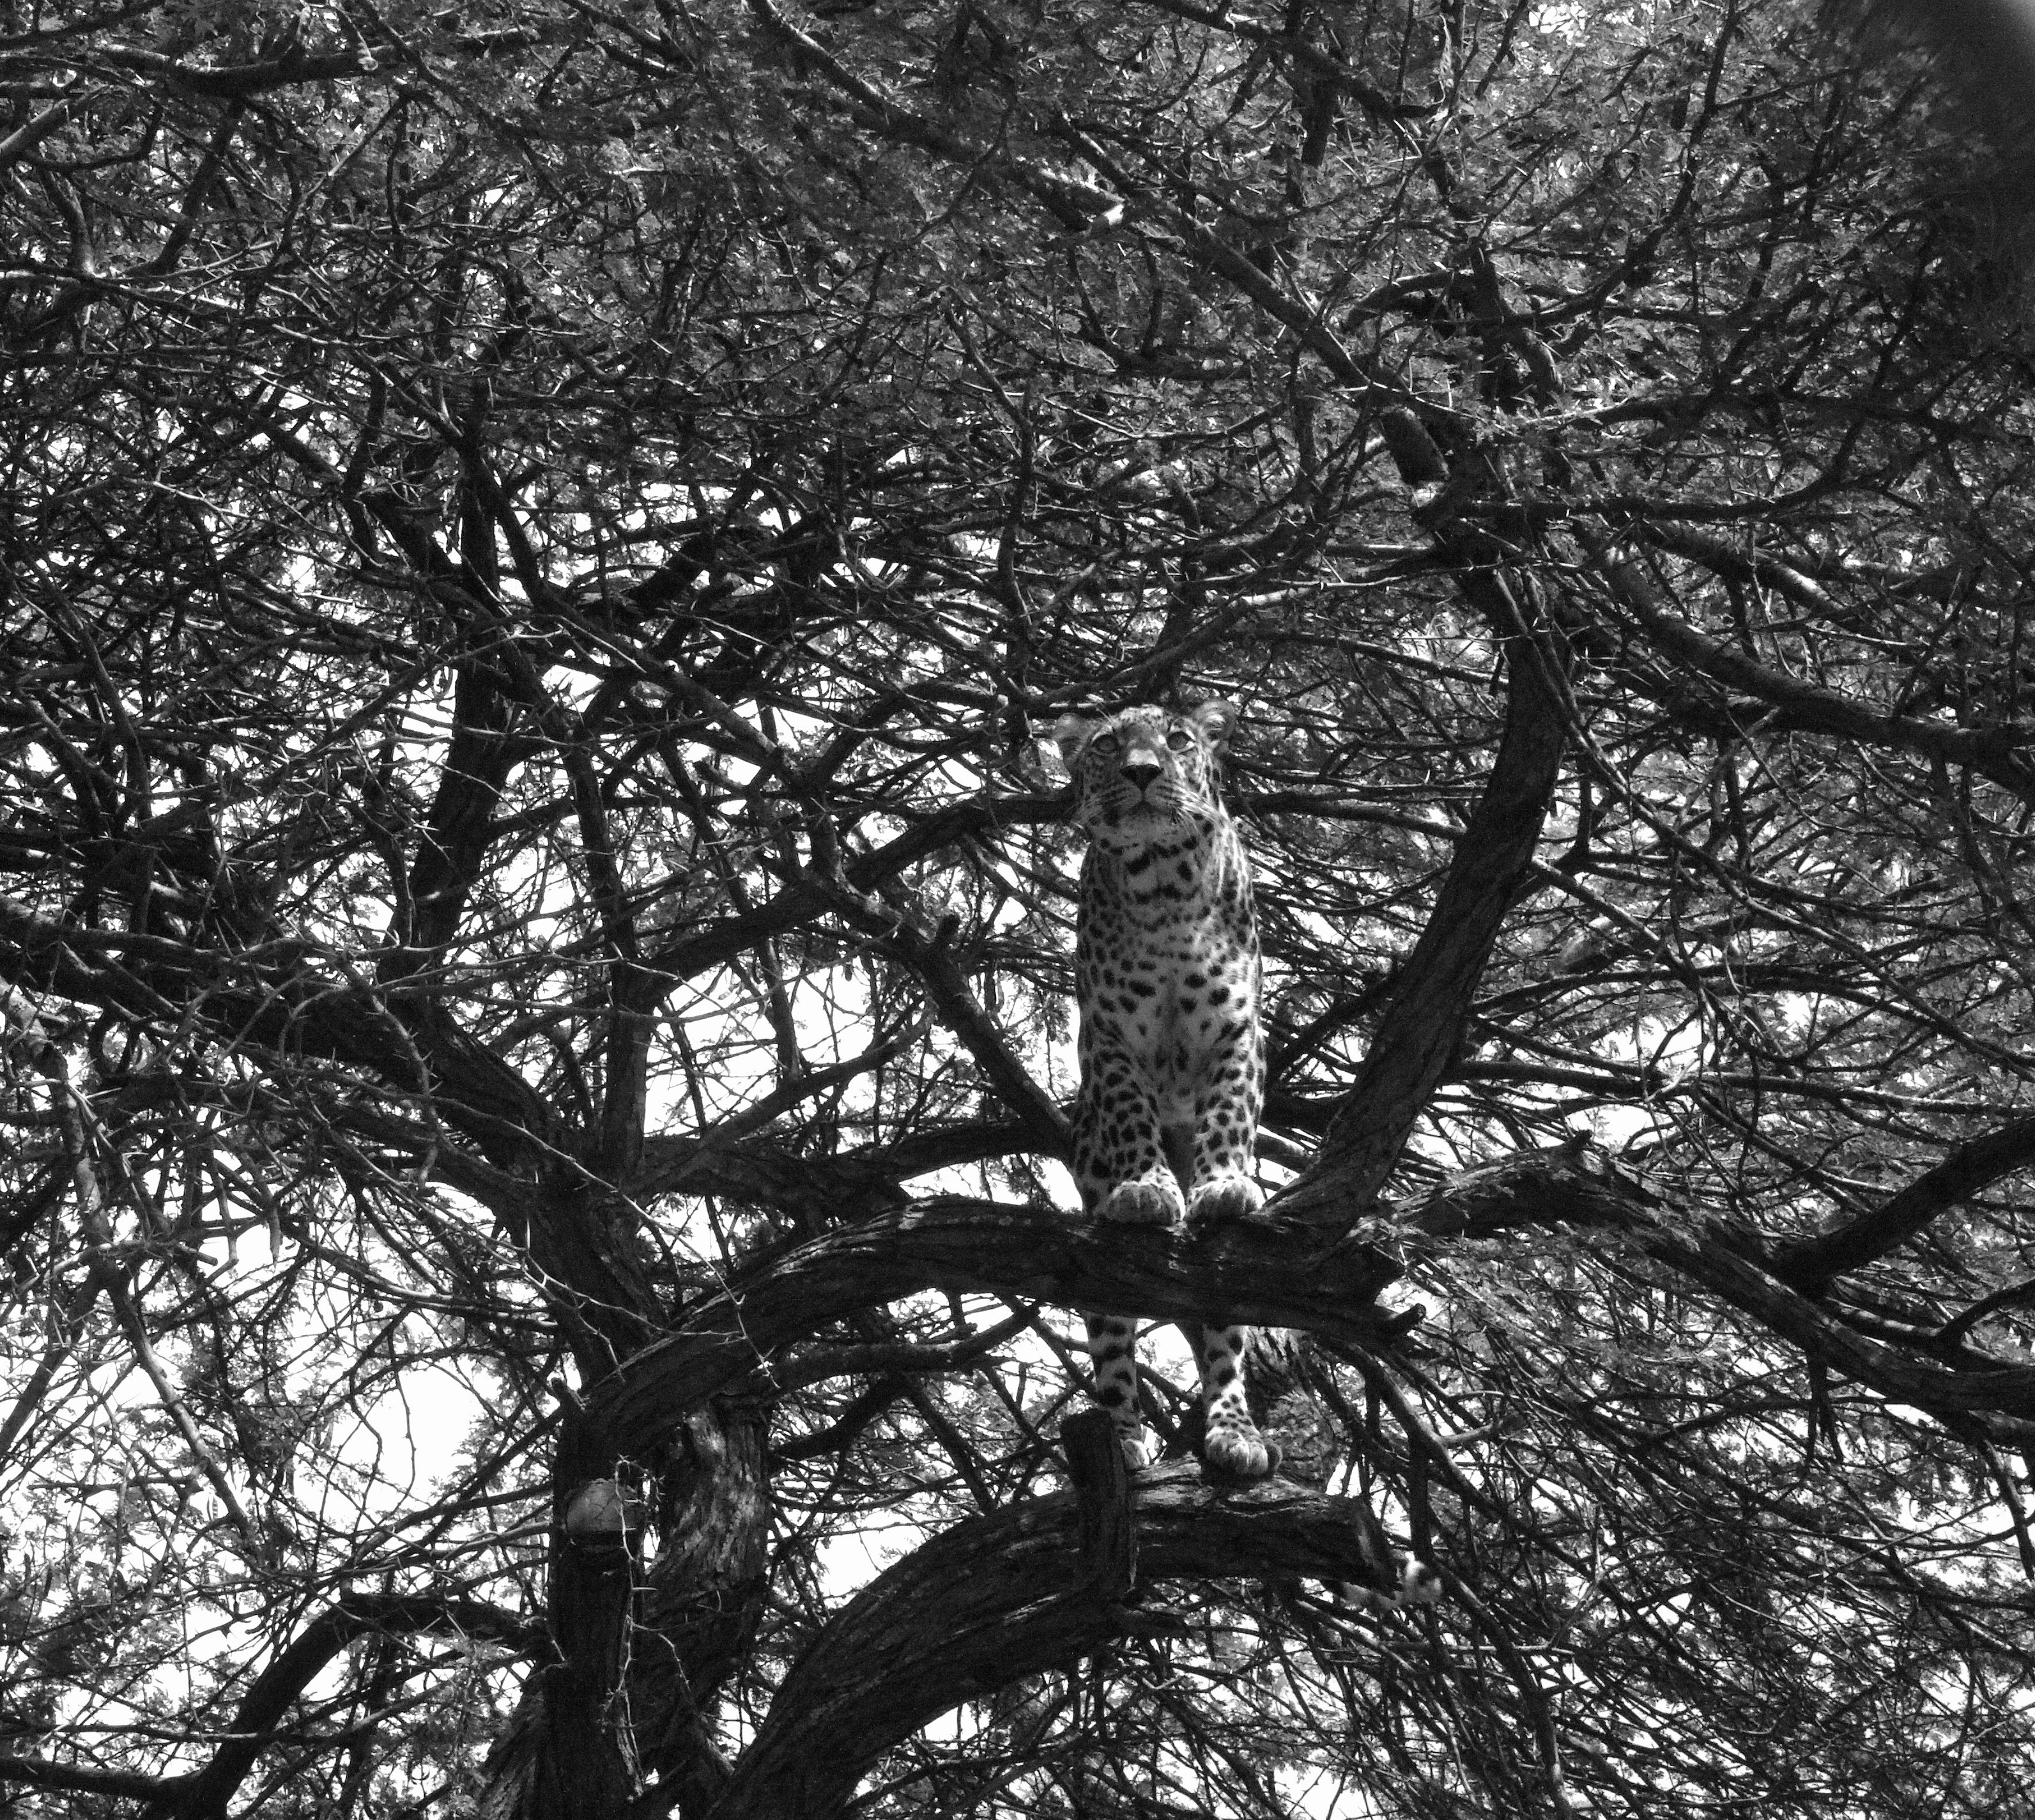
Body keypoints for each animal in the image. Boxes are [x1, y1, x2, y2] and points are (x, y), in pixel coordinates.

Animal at [1054, 699, 1275, 1480]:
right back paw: (1121, 1438)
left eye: (1177, 740)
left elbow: (1228, 1115)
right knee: (1113, 1350)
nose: (1143, 771)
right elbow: (1129, 1115)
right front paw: (1148, 1189)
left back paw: (1234, 1431)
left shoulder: (1238, 1033)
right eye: (1106, 745)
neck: (1165, 889)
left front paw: (1223, 1183)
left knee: (1225, 1342)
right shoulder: (1109, 1038)